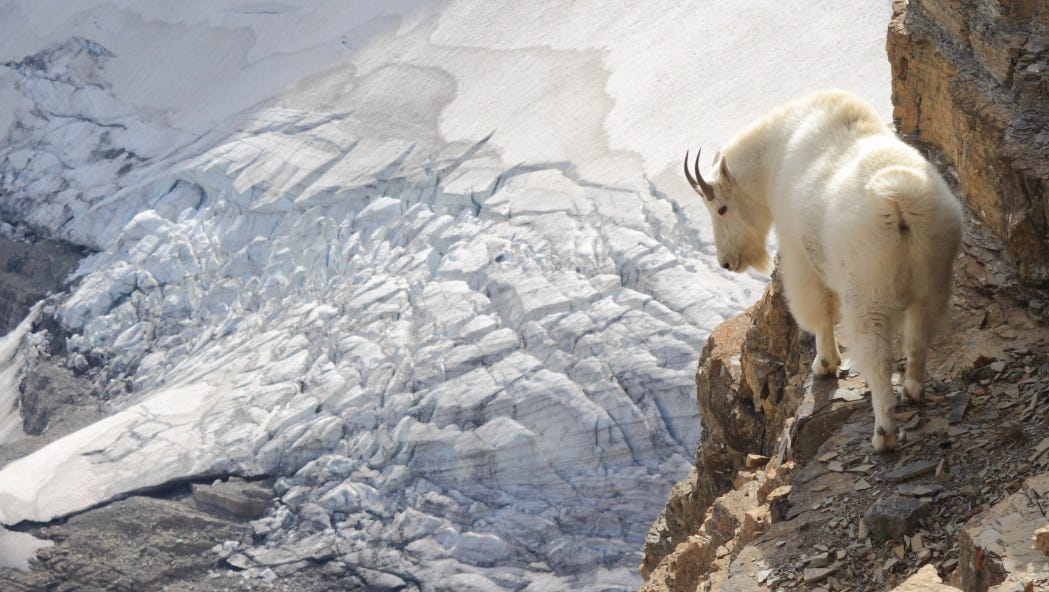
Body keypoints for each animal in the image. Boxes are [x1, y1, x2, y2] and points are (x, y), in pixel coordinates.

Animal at [685, 89, 963, 452]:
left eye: (720, 208)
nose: (727, 262)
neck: (777, 153)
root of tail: (899, 204)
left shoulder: (798, 255)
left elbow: (818, 312)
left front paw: (824, 364)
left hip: (868, 293)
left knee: (878, 357)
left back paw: (883, 434)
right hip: (934, 281)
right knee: (919, 338)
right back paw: (913, 390)